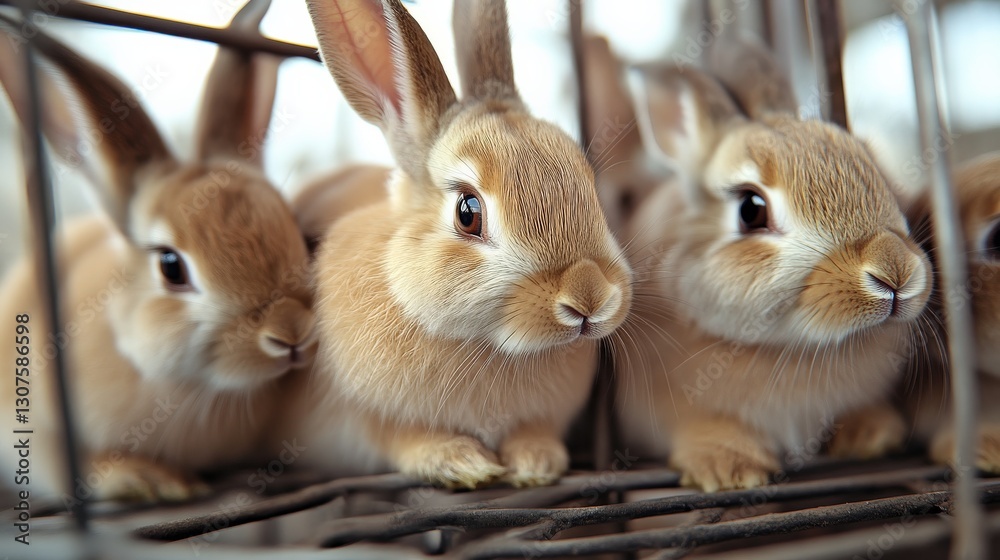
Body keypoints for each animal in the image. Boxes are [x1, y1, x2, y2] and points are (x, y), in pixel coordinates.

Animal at [286, 0, 633, 489]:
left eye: (588, 184)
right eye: (468, 212)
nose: (590, 297)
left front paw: (536, 462)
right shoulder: (366, 416)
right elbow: (404, 438)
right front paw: (464, 462)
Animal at [614, 35, 932, 492]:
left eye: (879, 176)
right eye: (751, 209)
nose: (896, 274)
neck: (787, 348)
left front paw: (871, 435)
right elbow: (707, 425)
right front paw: (728, 469)